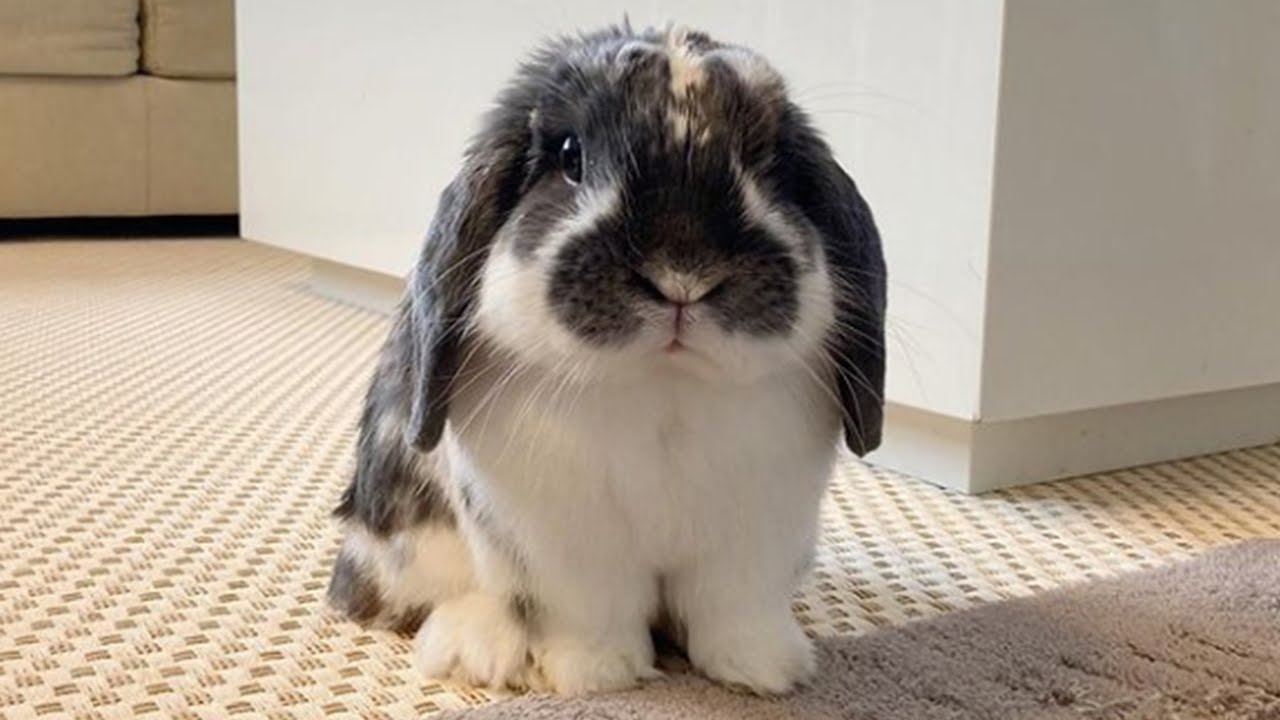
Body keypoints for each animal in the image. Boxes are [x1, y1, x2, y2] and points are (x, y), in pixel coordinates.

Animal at [326, 23, 886, 697]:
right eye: (570, 156)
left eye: (770, 165)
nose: (682, 275)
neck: (664, 389)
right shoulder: (567, 547)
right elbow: (591, 611)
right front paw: (598, 674)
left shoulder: (754, 537)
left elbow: (735, 611)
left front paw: (764, 670)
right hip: (412, 546)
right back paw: (476, 651)